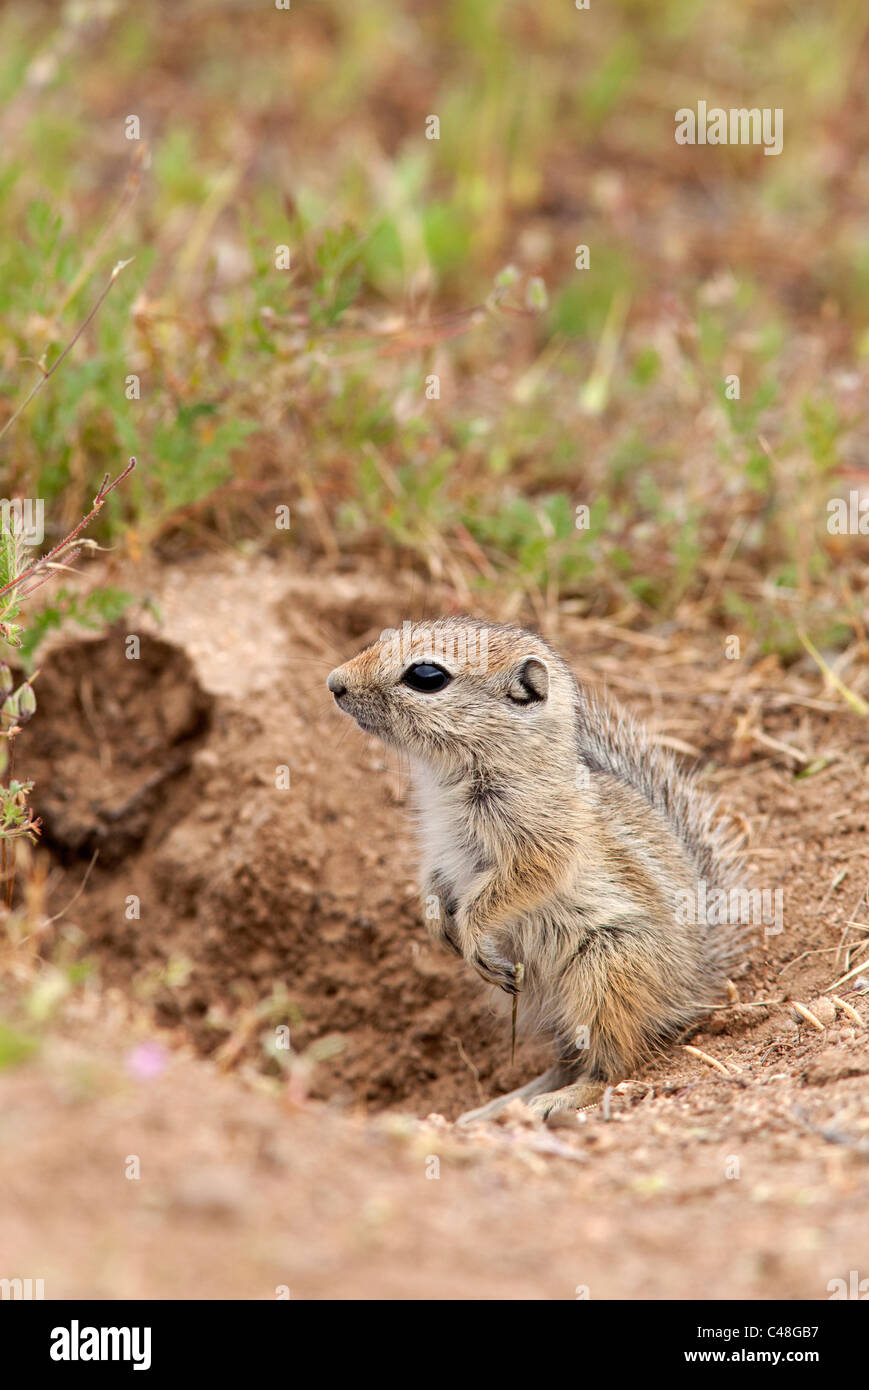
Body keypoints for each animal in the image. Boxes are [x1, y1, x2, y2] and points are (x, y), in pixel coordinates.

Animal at [327, 617, 745, 1123]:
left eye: (427, 676)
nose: (334, 683)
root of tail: (694, 980)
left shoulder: (542, 843)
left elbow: (510, 887)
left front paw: (469, 933)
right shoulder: (440, 846)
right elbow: (433, 879)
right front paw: (437, 924)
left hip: (605, 972)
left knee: (611, 1066)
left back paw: (558, 1100)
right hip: (532, 999)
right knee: (566, 1058)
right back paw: (501, 1105)